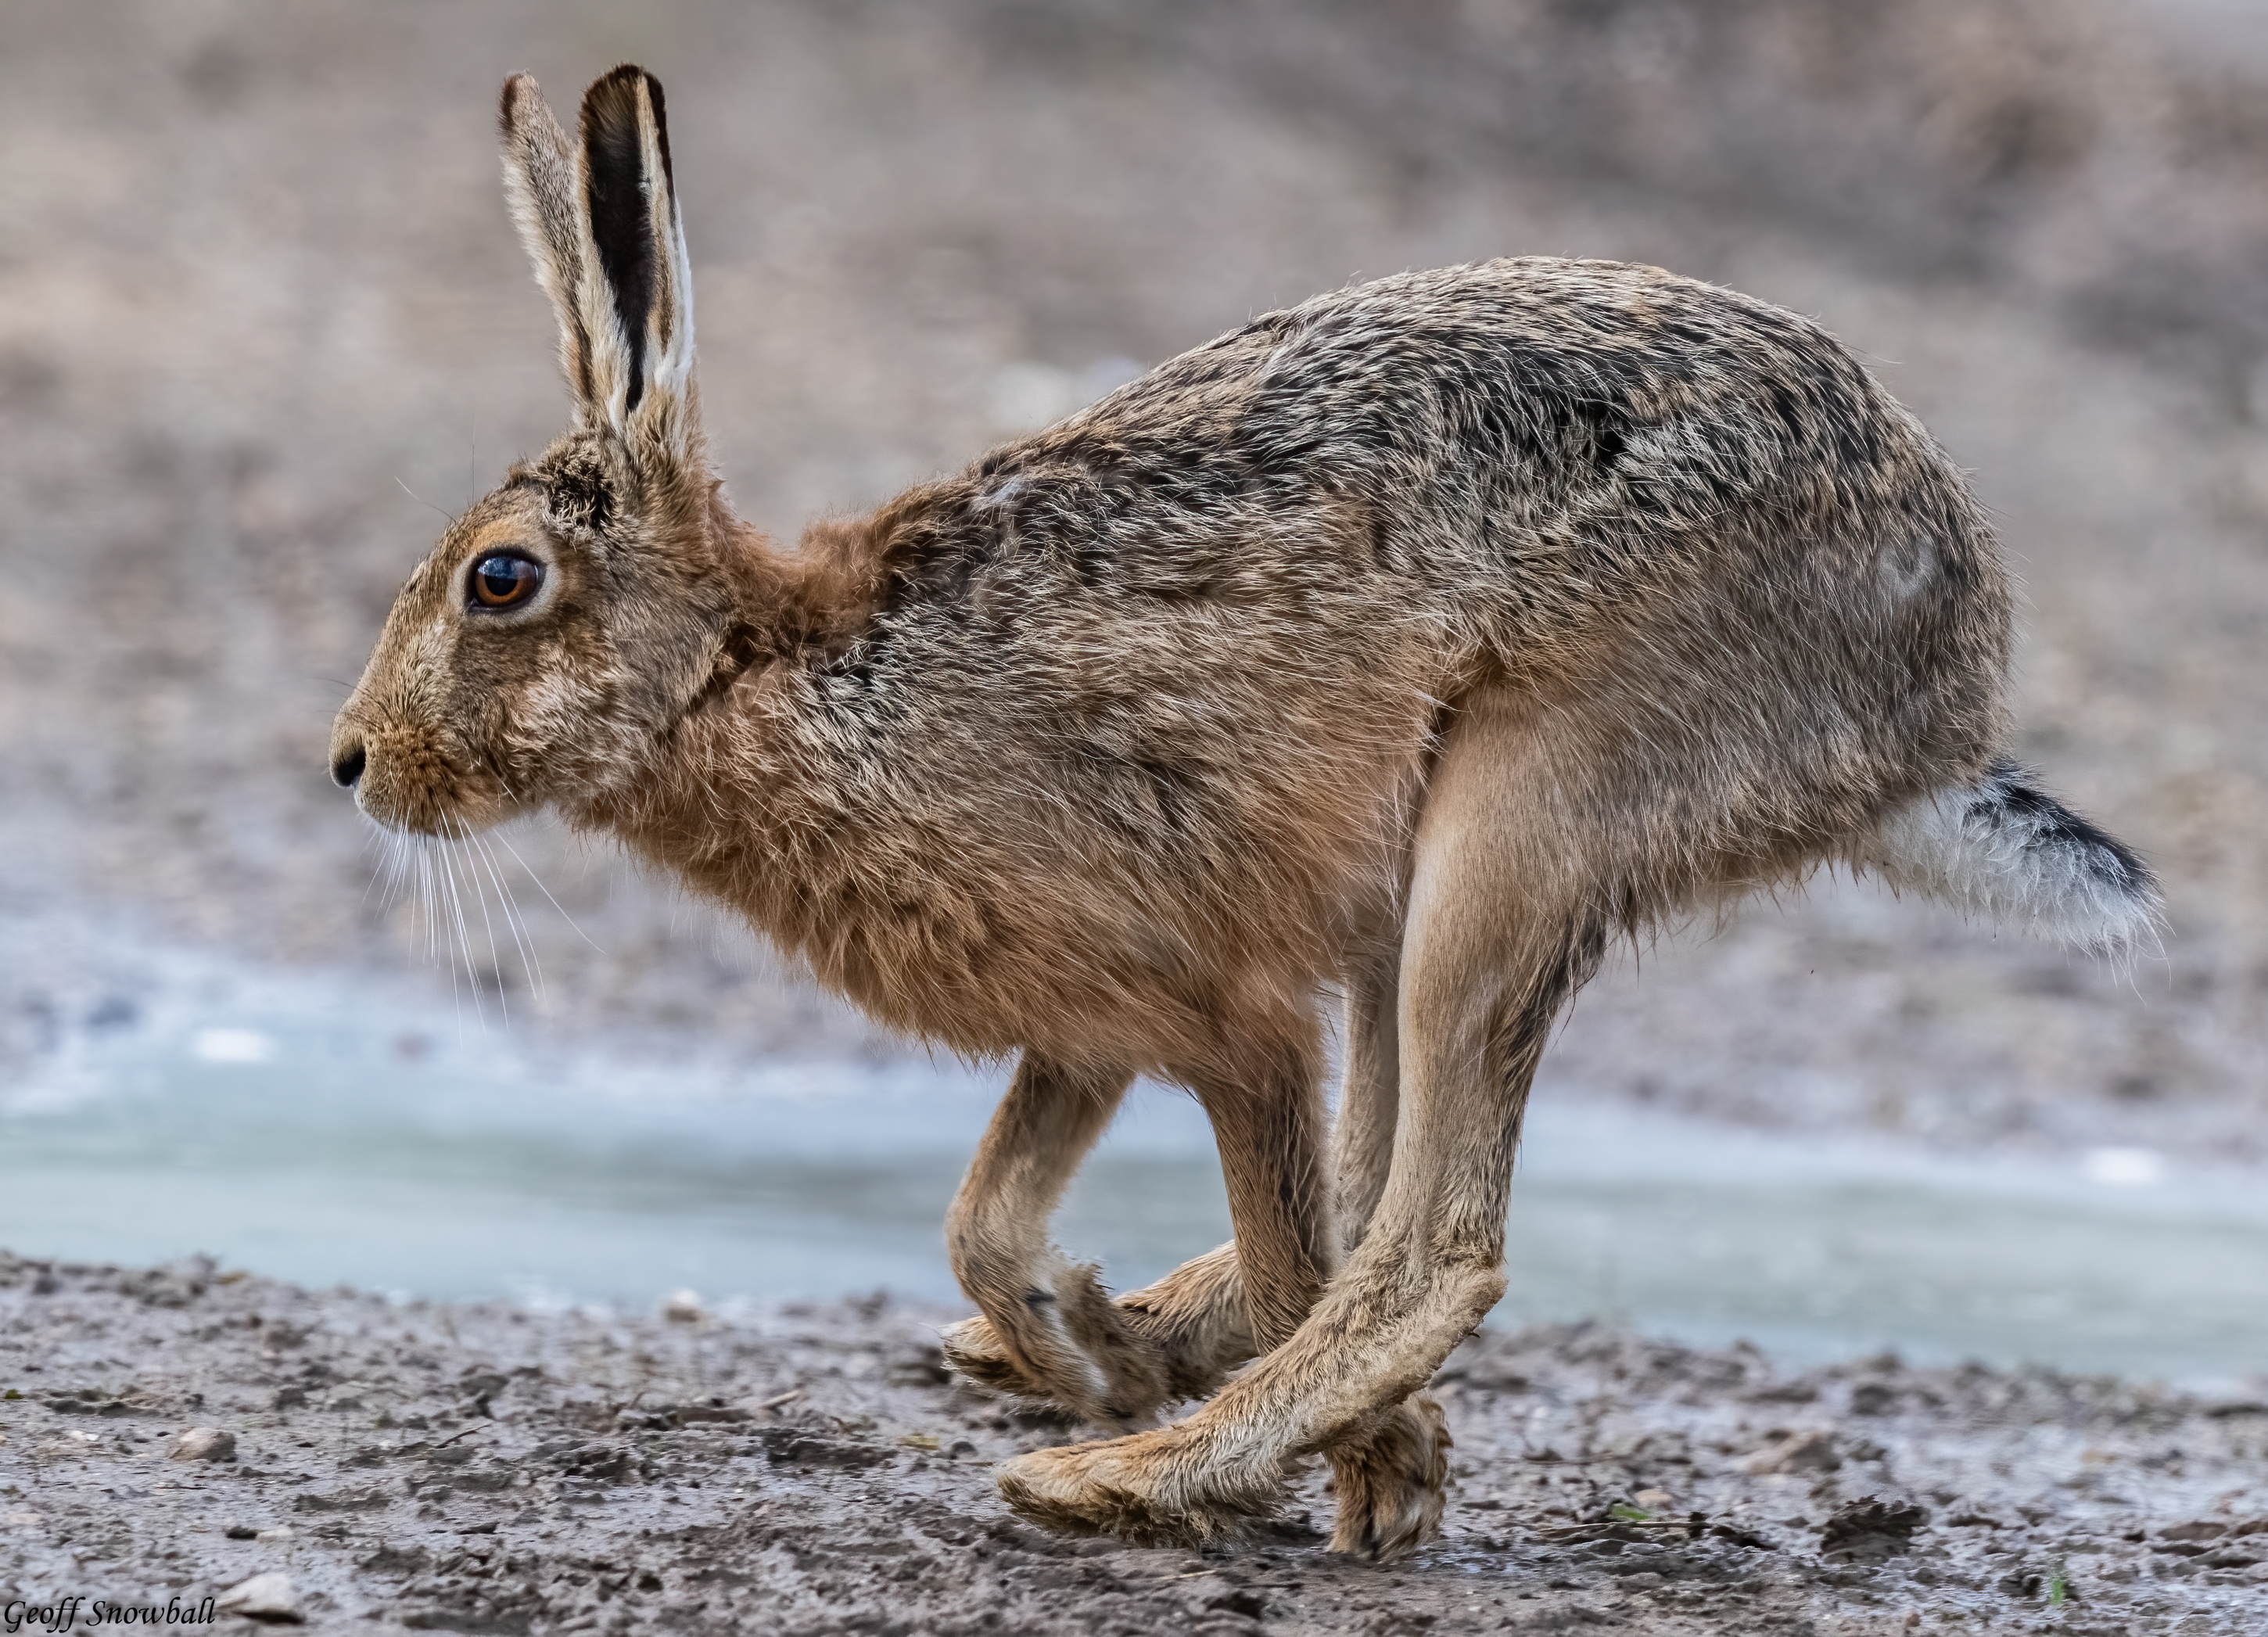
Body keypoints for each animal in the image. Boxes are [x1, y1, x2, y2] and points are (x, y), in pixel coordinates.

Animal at [330, 65, 2160, 1562]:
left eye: (502, 579)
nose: (353, 762)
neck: (763, 665)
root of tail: (1938, 698)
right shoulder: (1083, 1022)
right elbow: (981, 1217)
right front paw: (1079, 1337)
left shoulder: (1227, 1011)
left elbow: (1290, 1235)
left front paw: (1378, 1471)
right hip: (1412, 895)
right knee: (1378, 1183)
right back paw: (1126, 1344)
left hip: (1522, 821)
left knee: (1430, 1241)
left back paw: (1129, 1471)